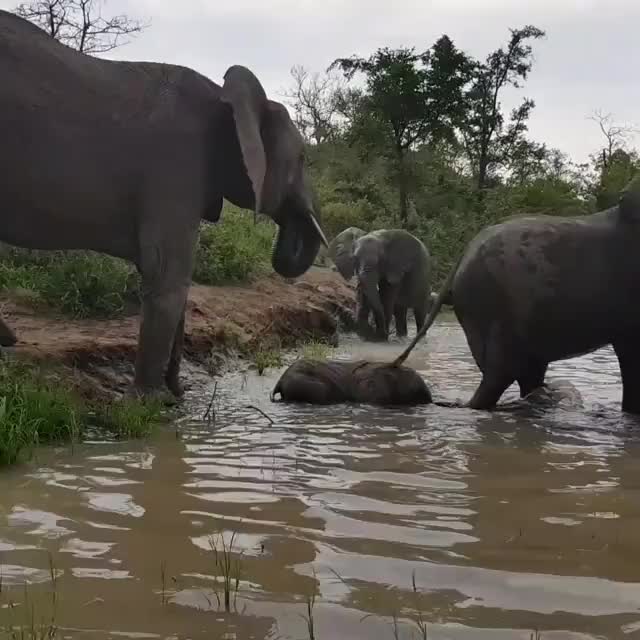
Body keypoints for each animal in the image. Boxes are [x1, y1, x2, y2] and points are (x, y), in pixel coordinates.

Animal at [0, 11, 328, 400]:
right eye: (304, 159)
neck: (226, 96)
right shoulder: (176, 164)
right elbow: (167, 271)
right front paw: (148, 403)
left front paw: (176, 395)